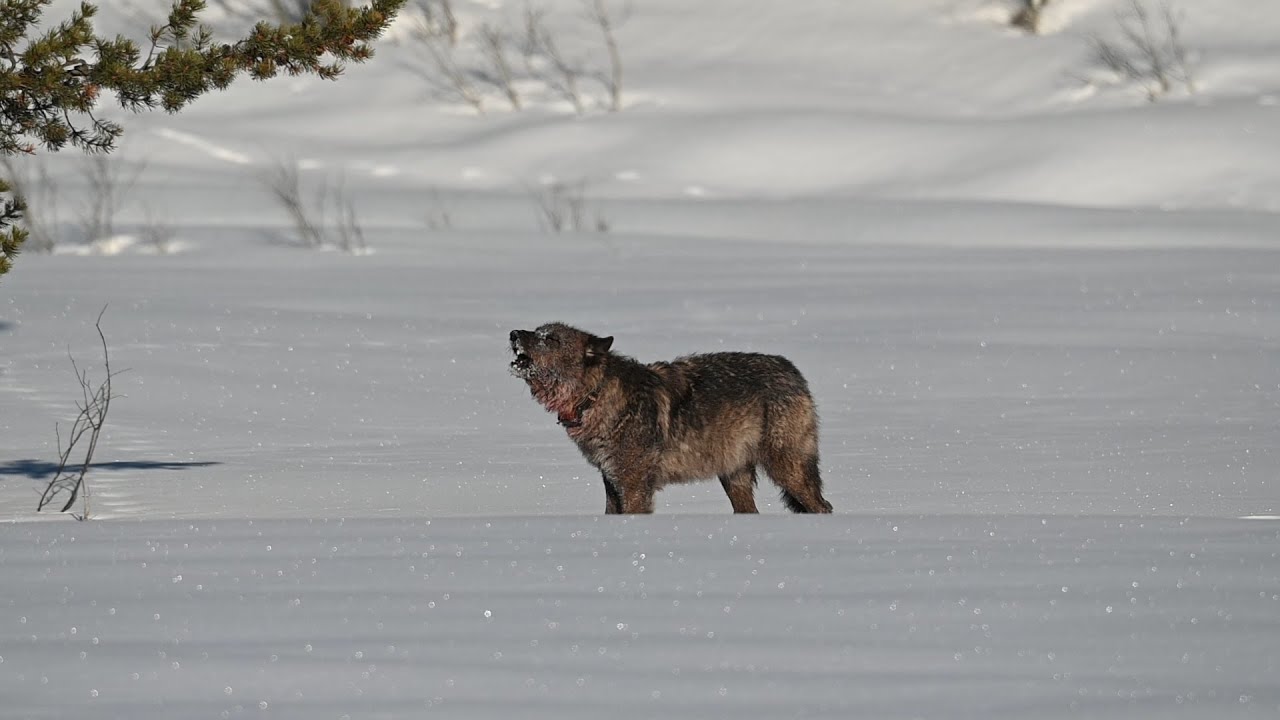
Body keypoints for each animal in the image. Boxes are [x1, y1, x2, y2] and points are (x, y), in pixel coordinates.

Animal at [509, 322, 833, 514]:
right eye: (536, 330)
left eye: (549, 338)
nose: (513, 333)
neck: (596, 395)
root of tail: (791, 369)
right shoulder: (611, 481)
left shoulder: (634, 484)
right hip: (735, 477)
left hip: (787, 469)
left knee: (823, 506)